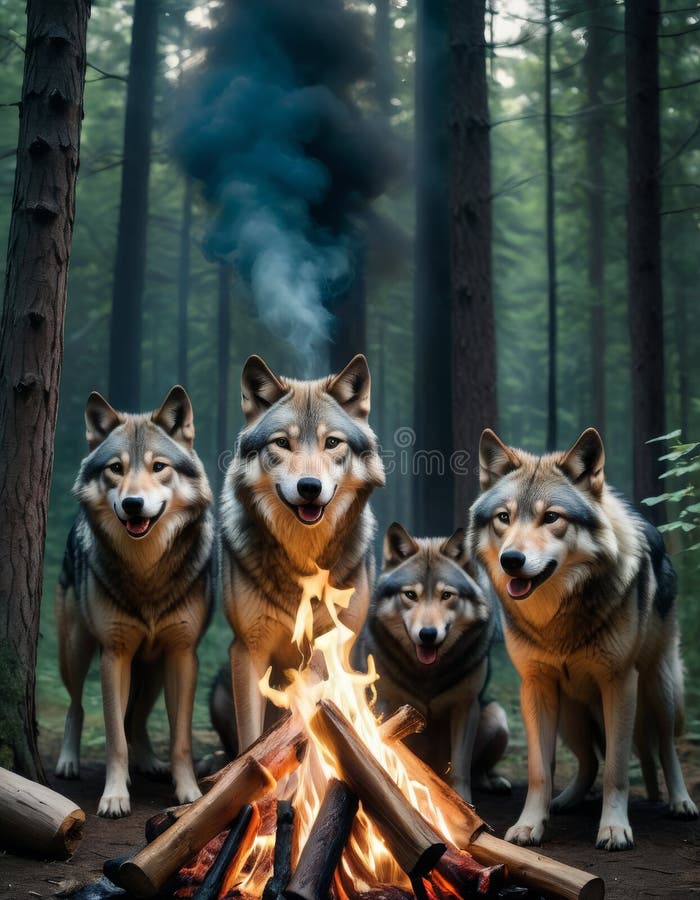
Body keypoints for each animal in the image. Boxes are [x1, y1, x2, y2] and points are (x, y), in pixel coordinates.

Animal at [55, 386, 214, 818]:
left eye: (158, 467)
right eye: (115, 468)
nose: (132, 504)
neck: (147, 570)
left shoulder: (183, 654)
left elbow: (180, 738)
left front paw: (188, 792)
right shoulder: (114, 655)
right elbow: (114, 738)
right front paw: (114, 796)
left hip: (154, 668)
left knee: (139, 719)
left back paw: (149, 763)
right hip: (75, 650)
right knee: (76, 706)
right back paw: (68, 762)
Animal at [219, 354, 385, 754]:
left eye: (332, 442)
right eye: (282, 442)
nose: (310, 487)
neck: (302, 558)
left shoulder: (331, 647)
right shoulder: (249, 651)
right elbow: (253, 736)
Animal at [366, 522, 510, 803]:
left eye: (446, 595)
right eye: (410, 594)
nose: (428, 634)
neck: (427, 674)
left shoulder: (466, 706)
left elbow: (461, 767)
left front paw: (463, 802)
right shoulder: (385, 703)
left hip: (497, 717)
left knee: (478, 769)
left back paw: (493, 781)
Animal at [469, 427, 698, 850]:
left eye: (551, 517)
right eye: (504, 518)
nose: (511, 560)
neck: (556, 620)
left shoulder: (620, 683)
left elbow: (617, 770)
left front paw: (614, 828)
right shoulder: (535, 686)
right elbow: (541, 770)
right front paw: (530, 824)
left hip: (660, 688)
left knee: (666, 748)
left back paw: (680, 801)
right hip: (571, 713)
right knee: (588, 762)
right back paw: (566, 801)